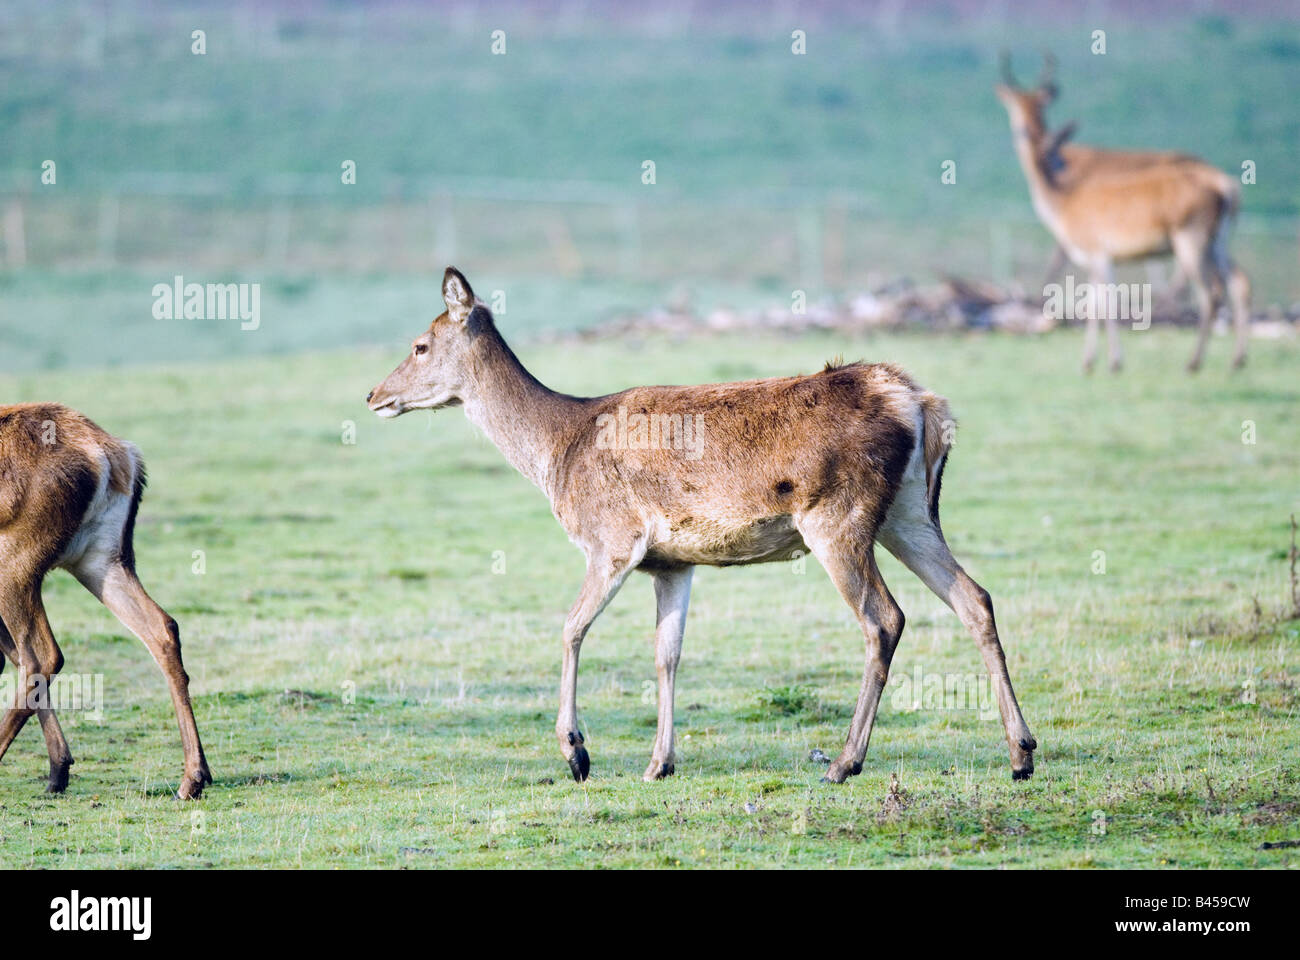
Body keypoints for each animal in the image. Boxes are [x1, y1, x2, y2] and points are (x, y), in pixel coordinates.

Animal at [0, 404, 210, 798]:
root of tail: (109, 452)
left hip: (15, 567)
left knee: (41, 657)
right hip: (101, 560)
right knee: (163, 629)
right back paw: (192, 778)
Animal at [367, 267, 1037, 785]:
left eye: (420, 344)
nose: (374, 394)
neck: (558, 454)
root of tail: (922, 405)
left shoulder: (611, 539)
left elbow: (570, 628)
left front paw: (577, 753)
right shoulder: (673, 562)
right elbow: (667, 653)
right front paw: (659, 763)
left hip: (838, 517)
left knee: (885, 618)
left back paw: (845, 762)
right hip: (909, 513)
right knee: (975, 597)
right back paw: (1021, 754)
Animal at [996, 52, 1251, 373]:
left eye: (1036, 105)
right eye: (1017, 105)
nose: (1023, 131)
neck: (1062, 200)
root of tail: (1228, 187)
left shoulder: (1097, 253)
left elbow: (1103, 303)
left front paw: (1111, 362)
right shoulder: (1094, 259)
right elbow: (1094, 302)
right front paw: (1091, 361)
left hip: (1190, 238)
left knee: (1210, 292)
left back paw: (1193, 361)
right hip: (1218, 241)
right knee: (1238, 282)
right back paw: (1236, 359)